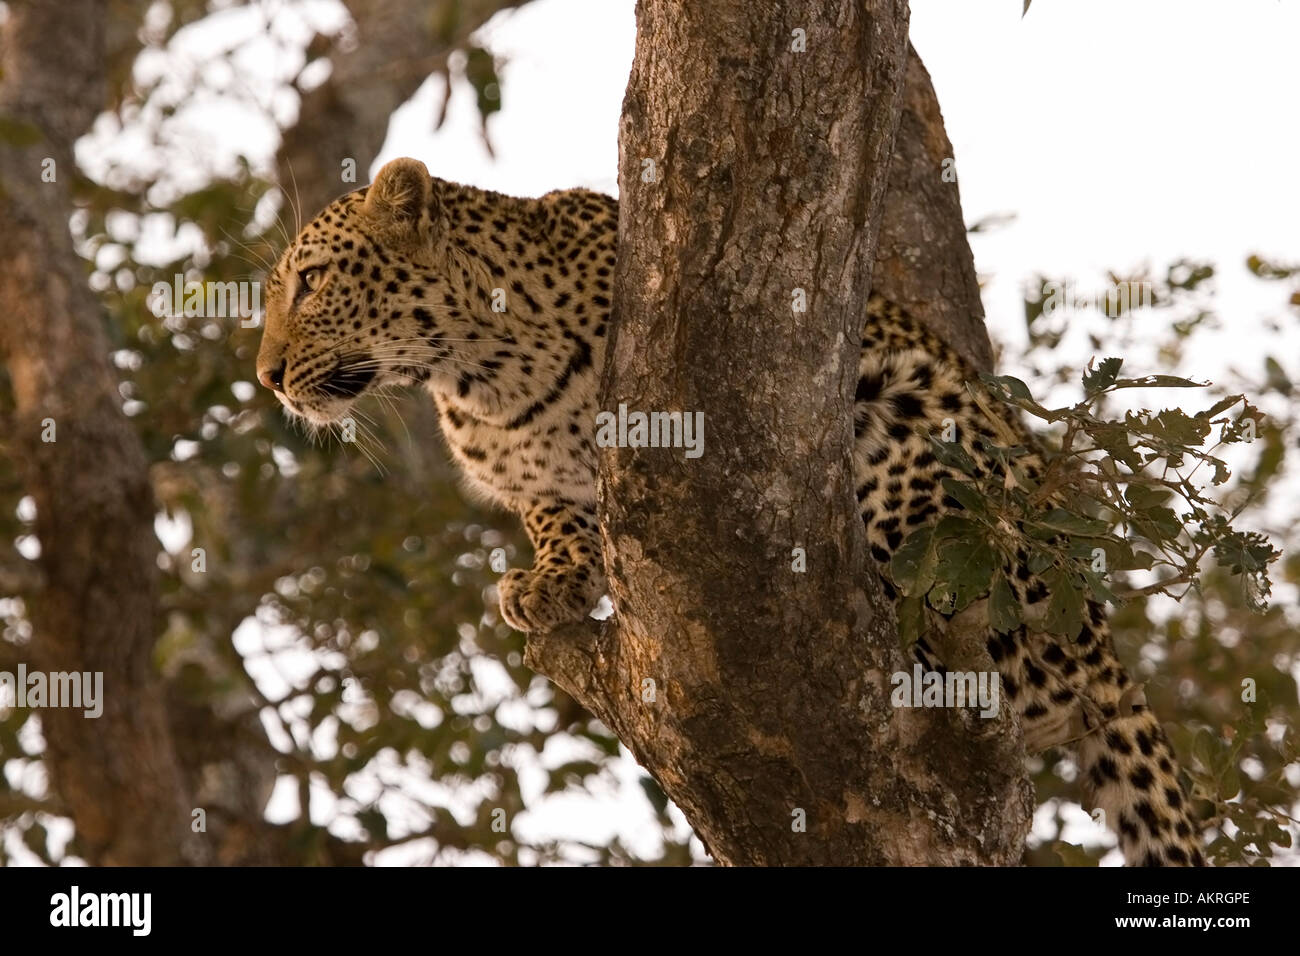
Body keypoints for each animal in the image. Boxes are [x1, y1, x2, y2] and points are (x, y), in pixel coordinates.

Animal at [256, 156, 1206, 866]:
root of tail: (1107, 647)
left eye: (312, 282)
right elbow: (563, 522)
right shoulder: (541, 487)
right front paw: (551, 582)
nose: (265, 376)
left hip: (932, 431)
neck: (481, 376)